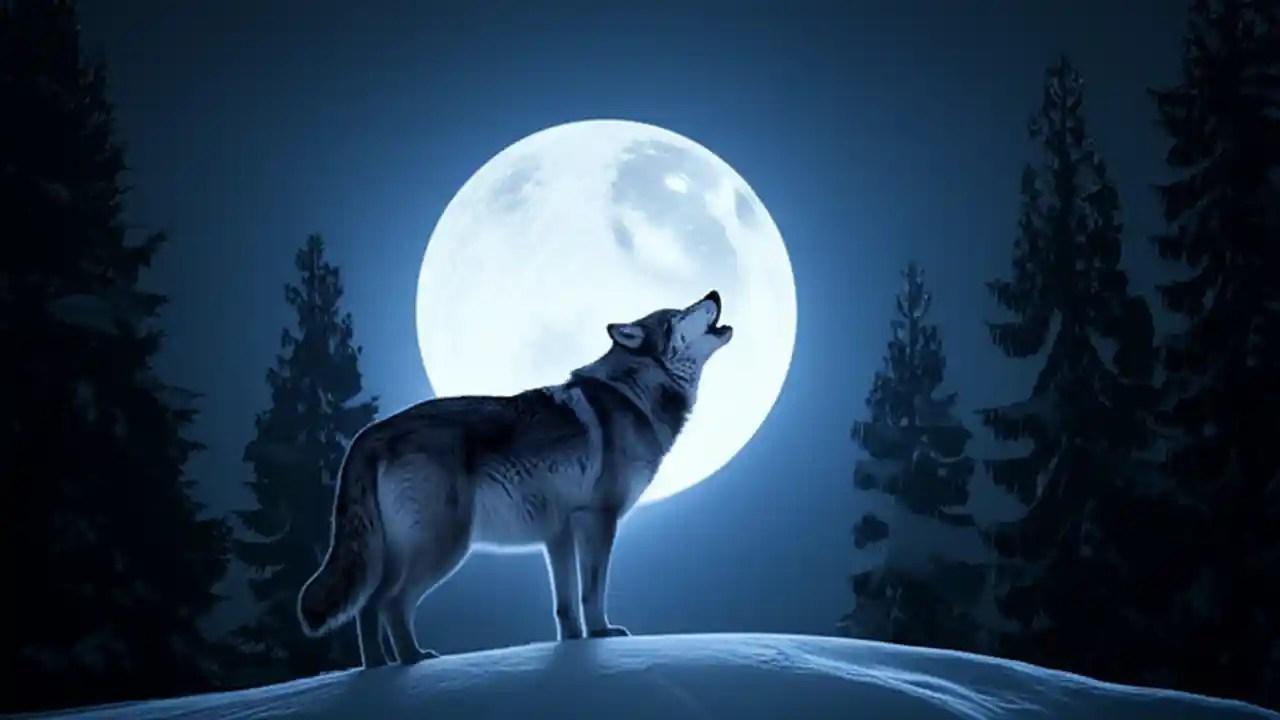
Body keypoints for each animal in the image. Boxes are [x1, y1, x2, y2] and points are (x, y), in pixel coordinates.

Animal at [296, 290, 734, 667]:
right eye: (678, 314)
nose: (714, 293)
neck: (635, 391)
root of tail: (370, 433)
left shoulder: (558, 535)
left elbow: (566, 609)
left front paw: (575, 650)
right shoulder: (598, 520)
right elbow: (592, 593)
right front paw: (603, 635)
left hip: (400, 552)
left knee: (368, 607)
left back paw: (377, 670)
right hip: (446, 547)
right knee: (390, 603)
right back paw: (414, 662)